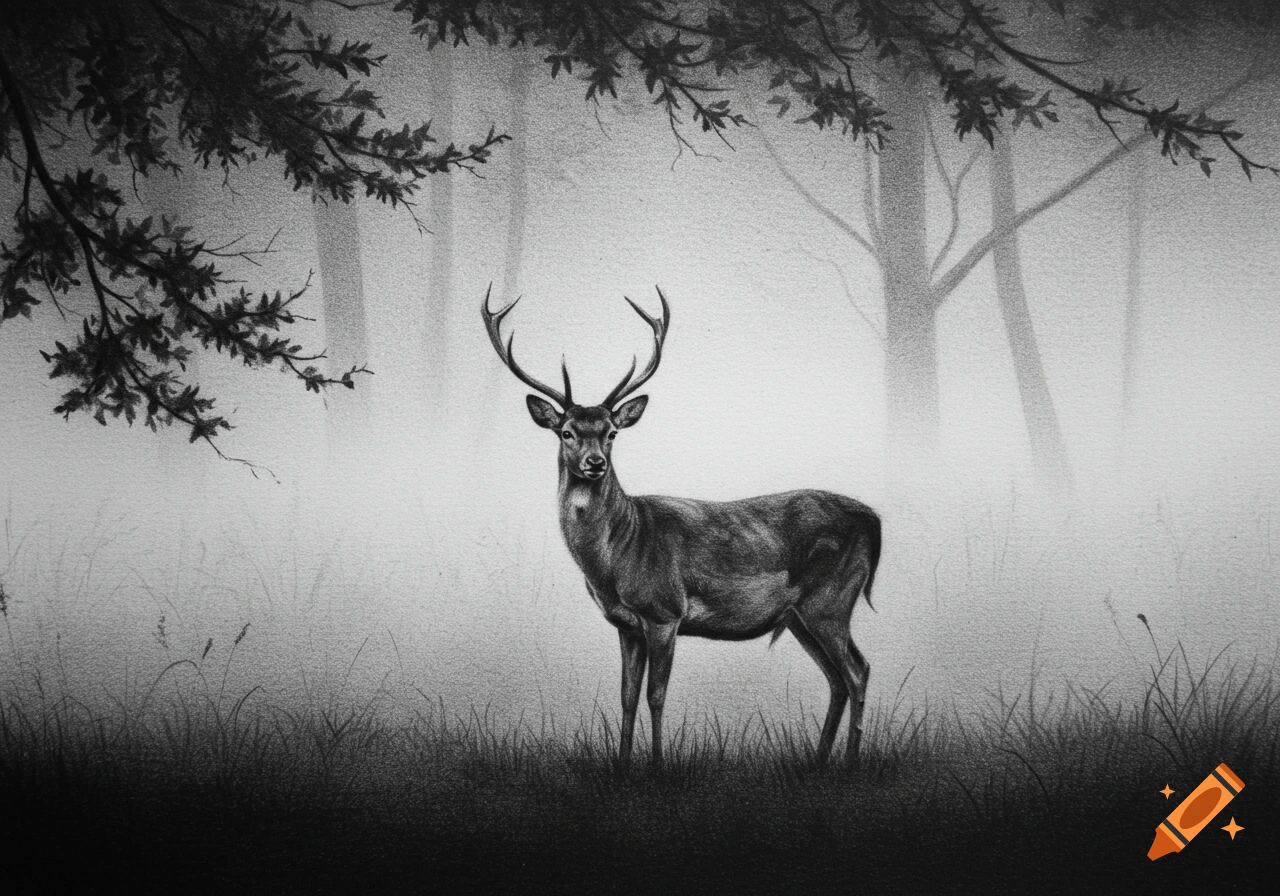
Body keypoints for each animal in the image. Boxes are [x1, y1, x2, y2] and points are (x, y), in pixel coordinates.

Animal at [482, 286, 882, 769]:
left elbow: (656, 696)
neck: (618, 556)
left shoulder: (664, 611)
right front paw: (622, 766)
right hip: (801, 614)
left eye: (612, 432)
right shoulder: (626, 625)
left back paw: (851, 762)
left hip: (831, 600)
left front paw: (657, 766)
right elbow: (626, 696)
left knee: (858, 671)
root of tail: (874, 520)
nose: (595, 464)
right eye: (566, 432)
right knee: (837, 678)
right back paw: (819, 761)